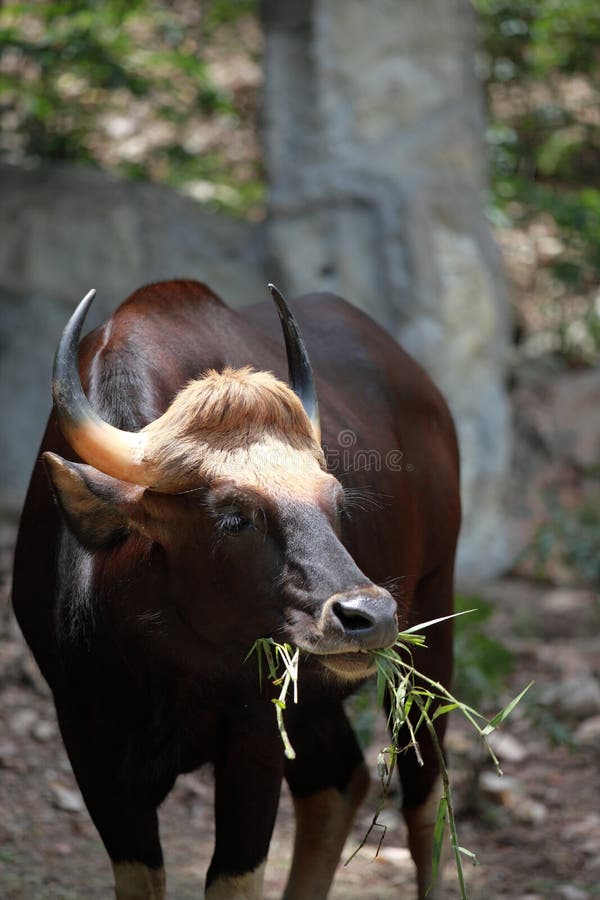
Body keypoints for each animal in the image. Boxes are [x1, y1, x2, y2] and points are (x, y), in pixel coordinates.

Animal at [13, 279, 460, 900]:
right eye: (233, 517)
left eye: (335, 501)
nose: (367, 615)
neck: (159, 661)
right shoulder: (89, 742)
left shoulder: (254, 735)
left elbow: (234, 878)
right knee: (338, 779)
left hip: (432, 633)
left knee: (424, 804)